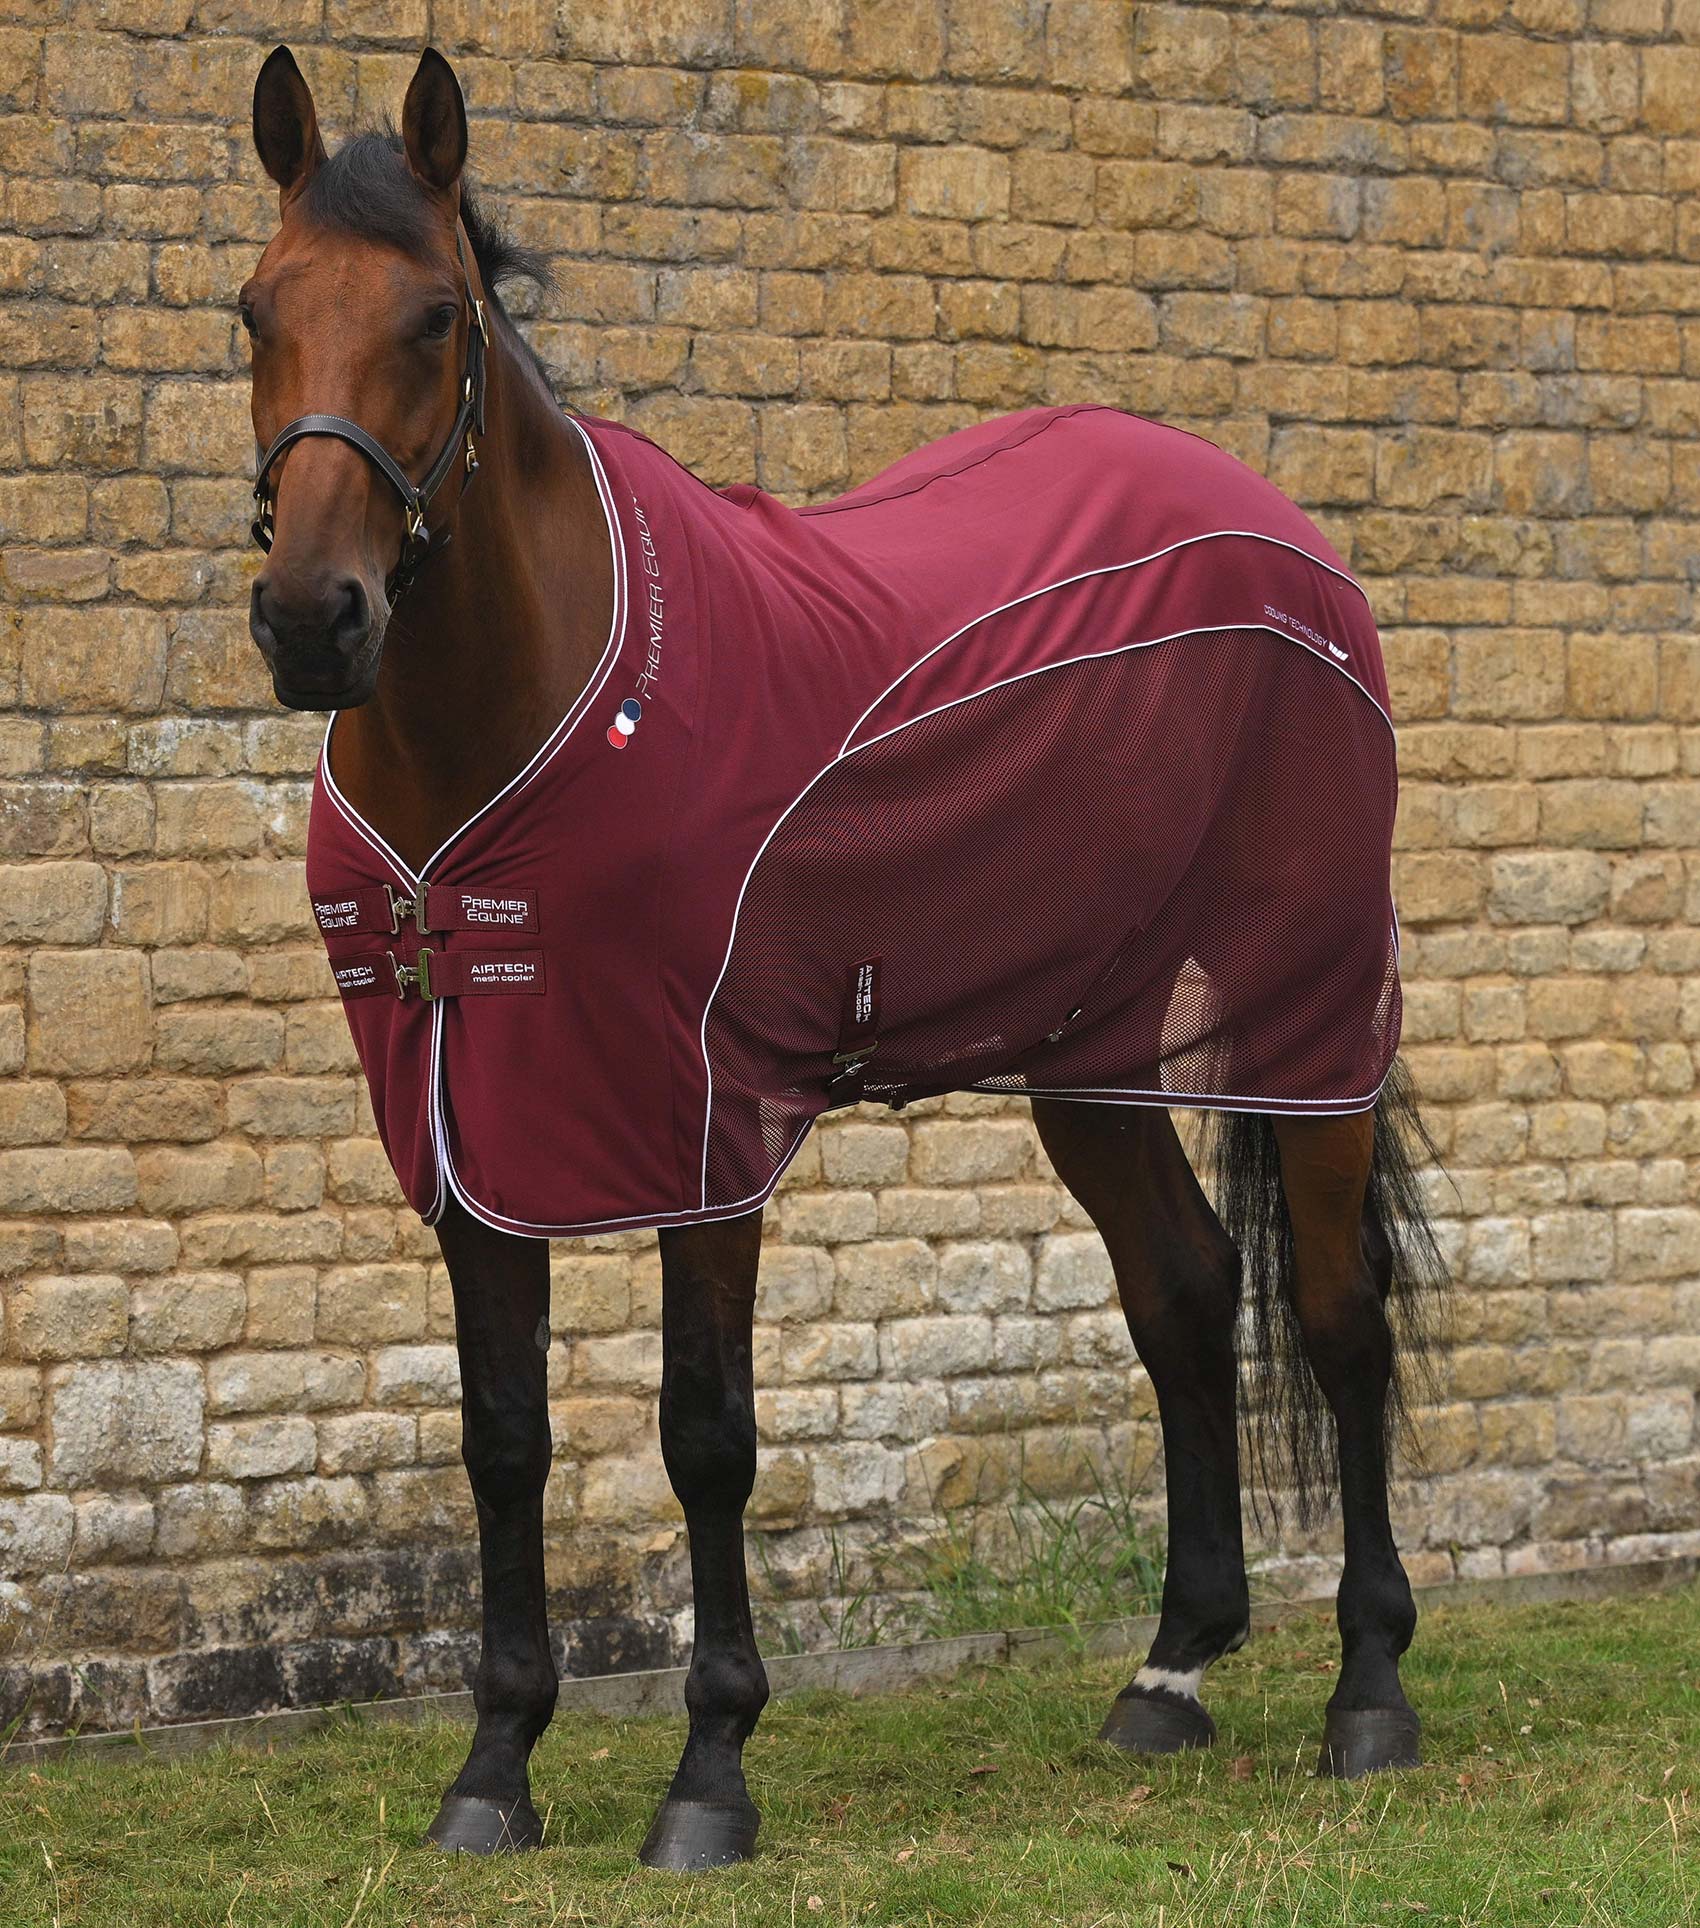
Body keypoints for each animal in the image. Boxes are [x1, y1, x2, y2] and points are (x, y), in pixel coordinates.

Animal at [242, 45, 1447, 1869]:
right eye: (253, 311)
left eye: (437, 317)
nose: (317, 620)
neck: (531, 716)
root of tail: (1282, 536)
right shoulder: (468, 1127)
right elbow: (503, 1435)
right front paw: (494, 1767)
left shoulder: (699, 1121)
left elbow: (705, 1432)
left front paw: (708, 1772)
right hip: (1087, 1045)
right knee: (1176, 1292)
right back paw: (1168, 1671)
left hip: (1304, 1023)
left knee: (1333, 1311)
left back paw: (1369, 1690)